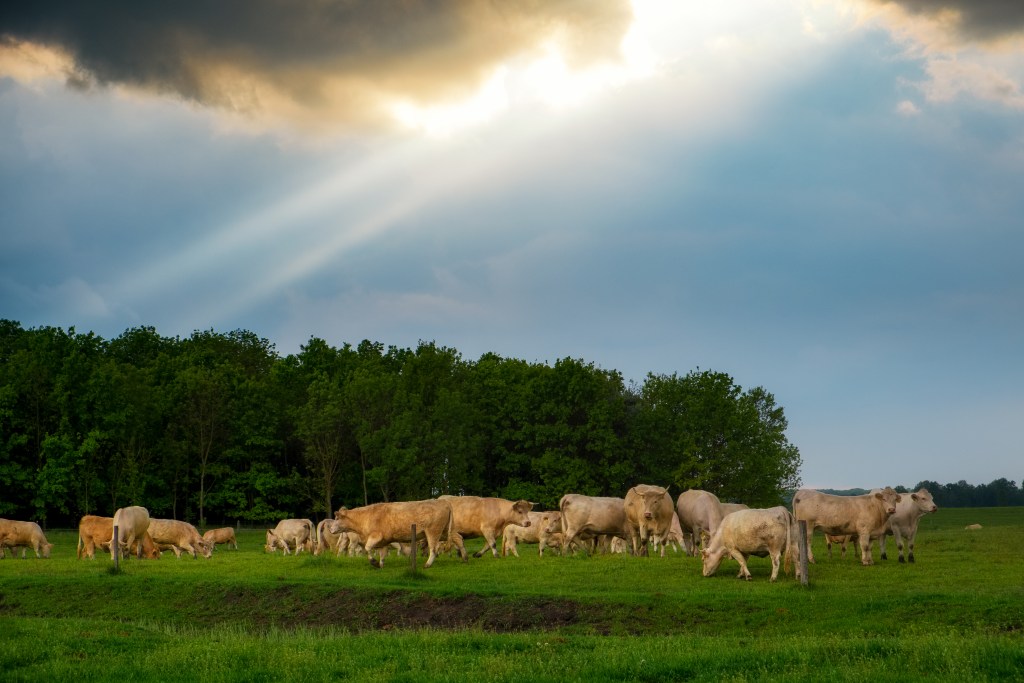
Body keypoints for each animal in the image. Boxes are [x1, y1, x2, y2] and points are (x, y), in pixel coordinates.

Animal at [330, 498, 462, 569]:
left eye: (336, 518)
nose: (330, 529)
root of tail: (443, 501)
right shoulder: (383, 540)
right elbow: (382, 554)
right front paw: (381, 564)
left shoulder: (375, 536)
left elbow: (367, 548)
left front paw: (373, 562)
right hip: (446, 531)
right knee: (458, 538)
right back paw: (464, 557)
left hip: (433, 531)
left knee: (433, 549)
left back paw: (427, 564)